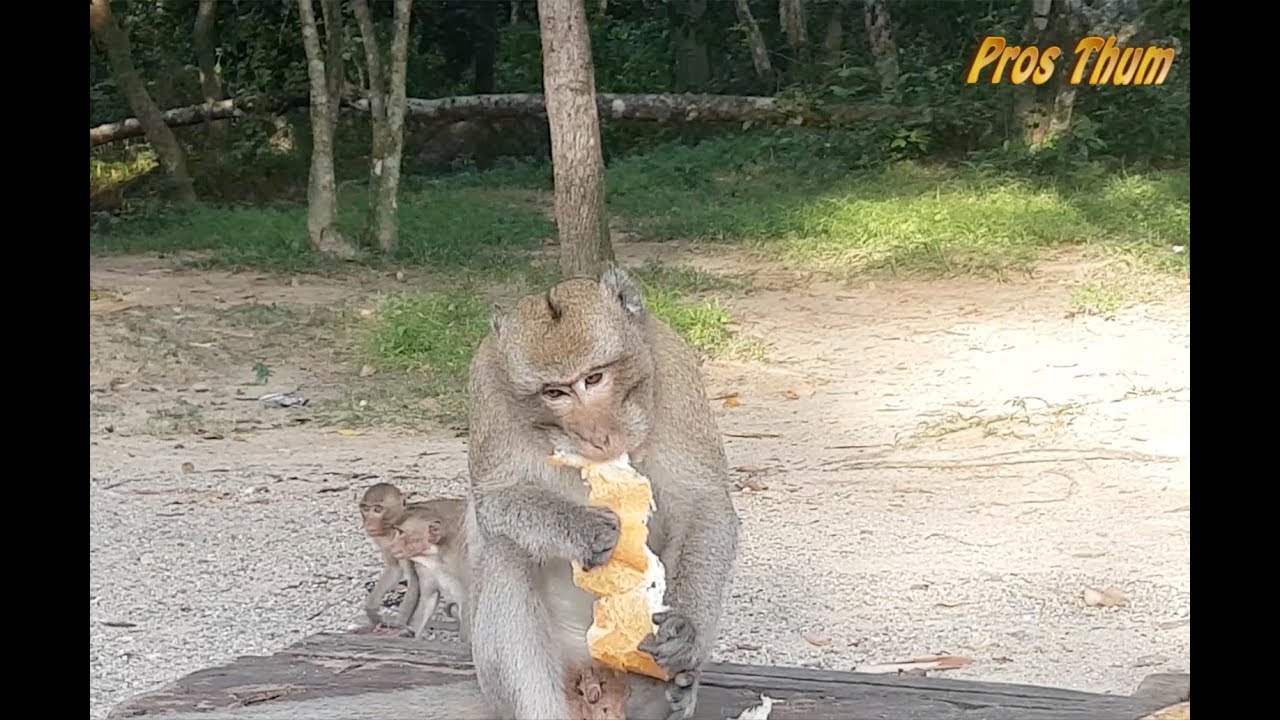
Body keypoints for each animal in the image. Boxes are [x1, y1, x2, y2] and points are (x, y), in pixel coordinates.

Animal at [386, 498, 471, 641]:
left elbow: (467, 604)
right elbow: (428, 599)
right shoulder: (426, 569)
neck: (436, 556)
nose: (391, 545)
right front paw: (414, 636)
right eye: (397, 531)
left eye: (401, 532)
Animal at [463, 264, 741, 720]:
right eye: (555, 392)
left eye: (594, 378)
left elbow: (704, 503)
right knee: (506, 551)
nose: (595, 435)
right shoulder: (485, 385)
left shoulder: (673, 363)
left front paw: (685, 629)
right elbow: (494, 499)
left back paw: (681, 687)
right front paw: (583, 529)